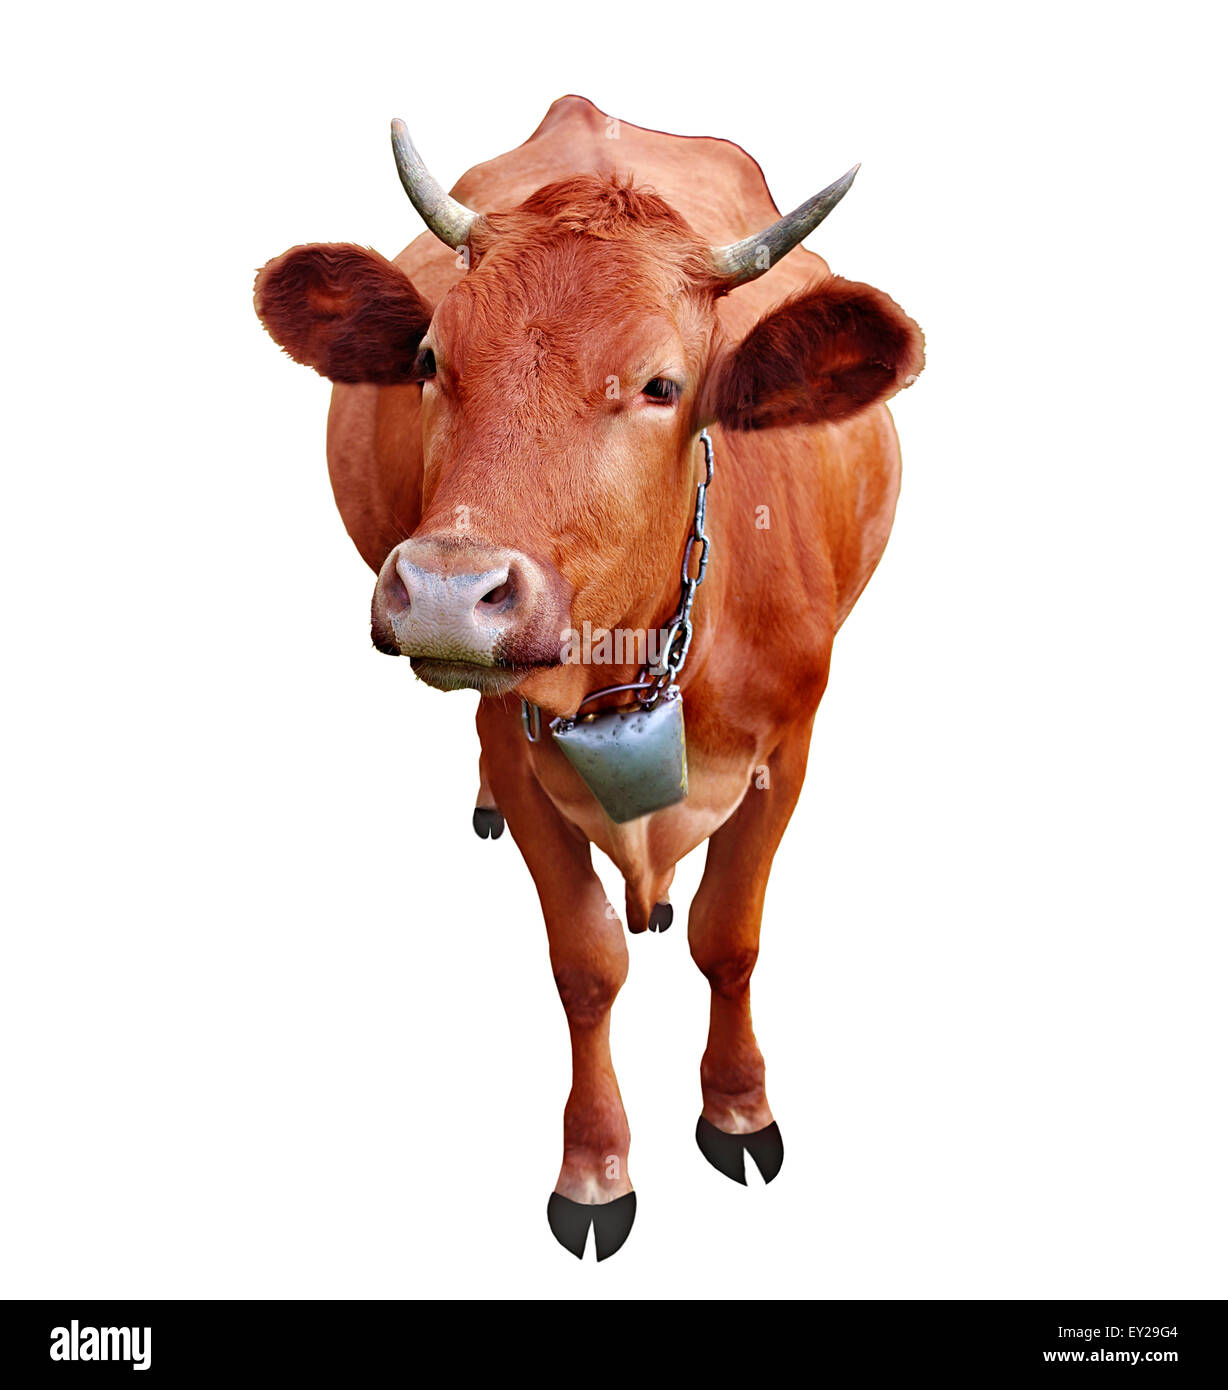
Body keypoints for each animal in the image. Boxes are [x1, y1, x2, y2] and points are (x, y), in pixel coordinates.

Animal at [254, 95, 923, 1260]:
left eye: (661, 385)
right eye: (428, 358)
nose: (446, 590)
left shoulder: (791, 747)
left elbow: (729, 939)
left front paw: (738, 1107)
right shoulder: (516, 748)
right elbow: (586, 963)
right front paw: (595, 1169)